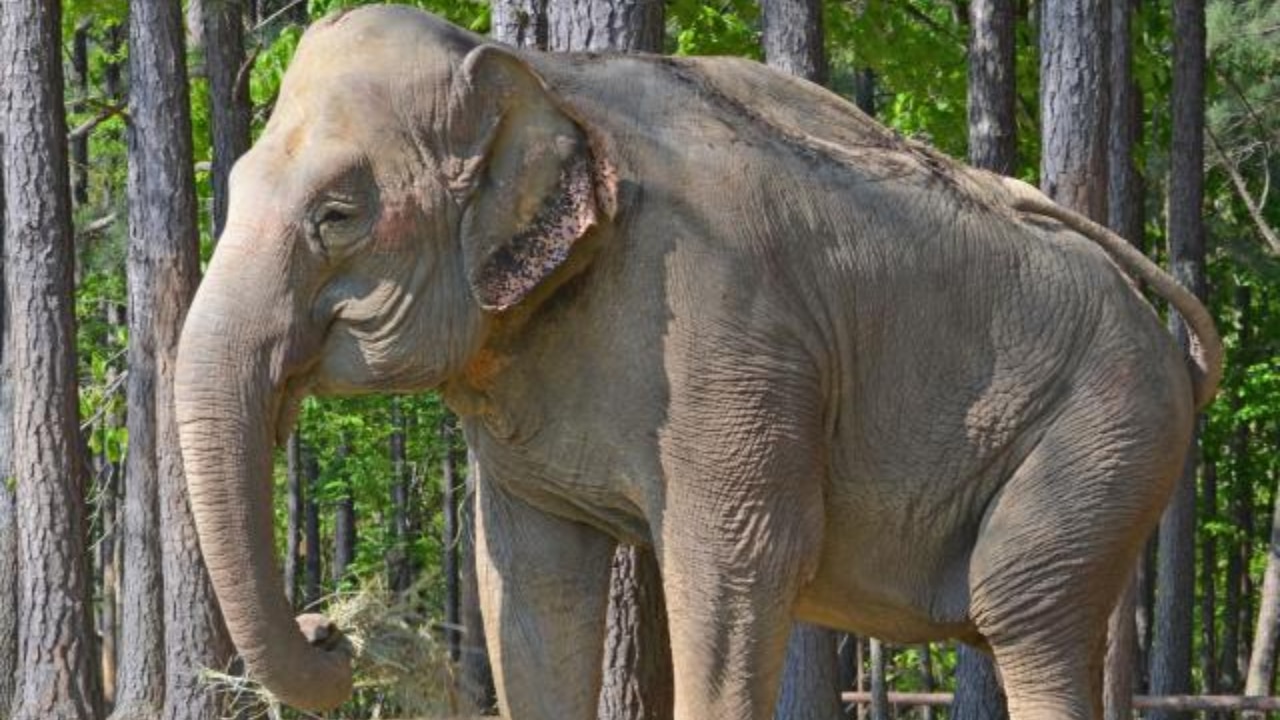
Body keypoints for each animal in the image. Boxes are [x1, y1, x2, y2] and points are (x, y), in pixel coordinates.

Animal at [173, 6, 1222, 720]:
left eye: (337, 215)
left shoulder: (730, 330)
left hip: (1109, 425)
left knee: (1021, 608)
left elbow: (739, 562)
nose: (331, 630)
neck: (548, 77)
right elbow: (533, 579)